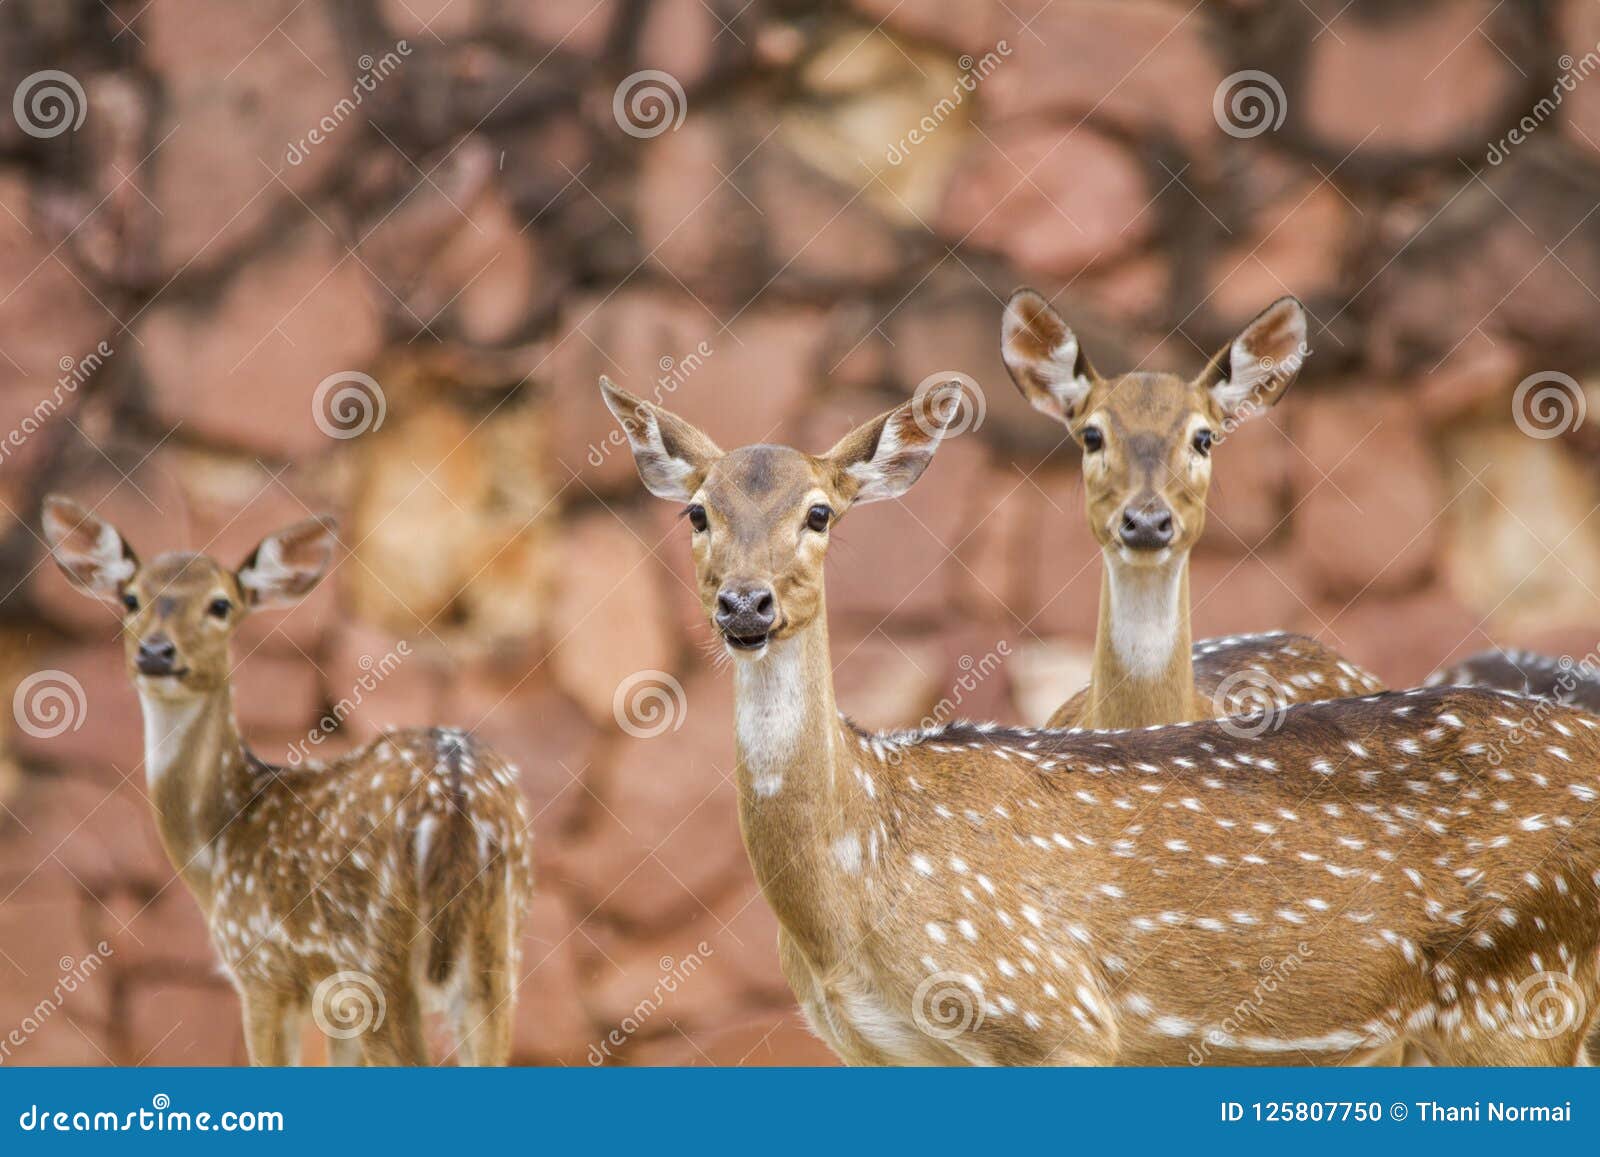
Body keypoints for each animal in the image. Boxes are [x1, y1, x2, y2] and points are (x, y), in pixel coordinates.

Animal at [40, 496, 534, 1066]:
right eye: (130, 598)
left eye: (220, 605)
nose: (157, 653)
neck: (216, 848)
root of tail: (456, 798)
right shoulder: (333, 1001)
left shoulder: (260, 967)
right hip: (501, 945)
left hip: (376, 952)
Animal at [601, 375, 1600, 1066]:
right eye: (696, 512)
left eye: (819, 513)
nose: (745, 603)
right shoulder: (874, 1052)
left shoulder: (1058, 1015)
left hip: (1527, 996)